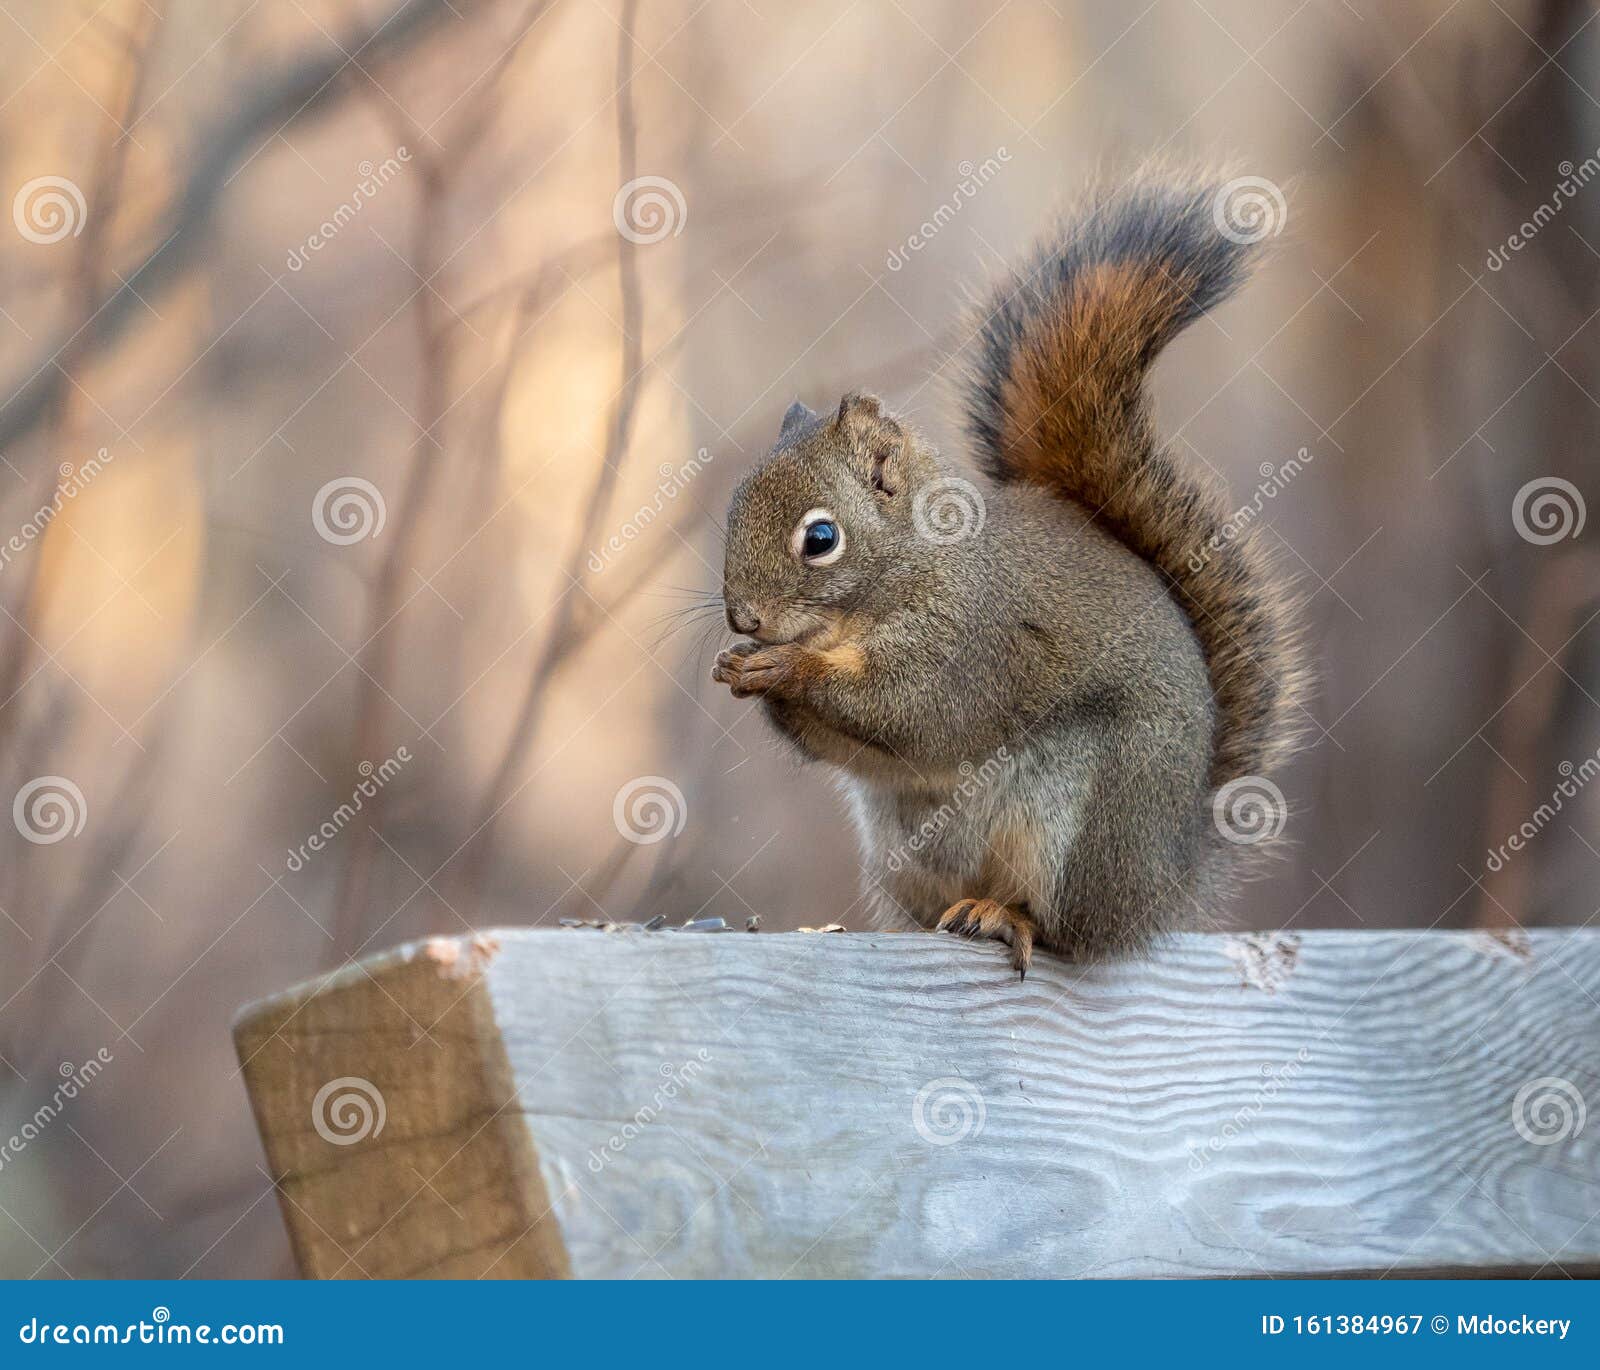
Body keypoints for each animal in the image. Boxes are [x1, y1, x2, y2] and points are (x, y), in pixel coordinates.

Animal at [712, 168, 1308, 977]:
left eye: (821, 538)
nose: (742, 617)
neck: (912, 566)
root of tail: (1166, 882)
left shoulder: (971, 641)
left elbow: (913, 711)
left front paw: (784, 667)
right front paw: (737, 664)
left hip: (1075, 818)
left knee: (1064, 928)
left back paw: (1003, 915)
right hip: (901, 848)